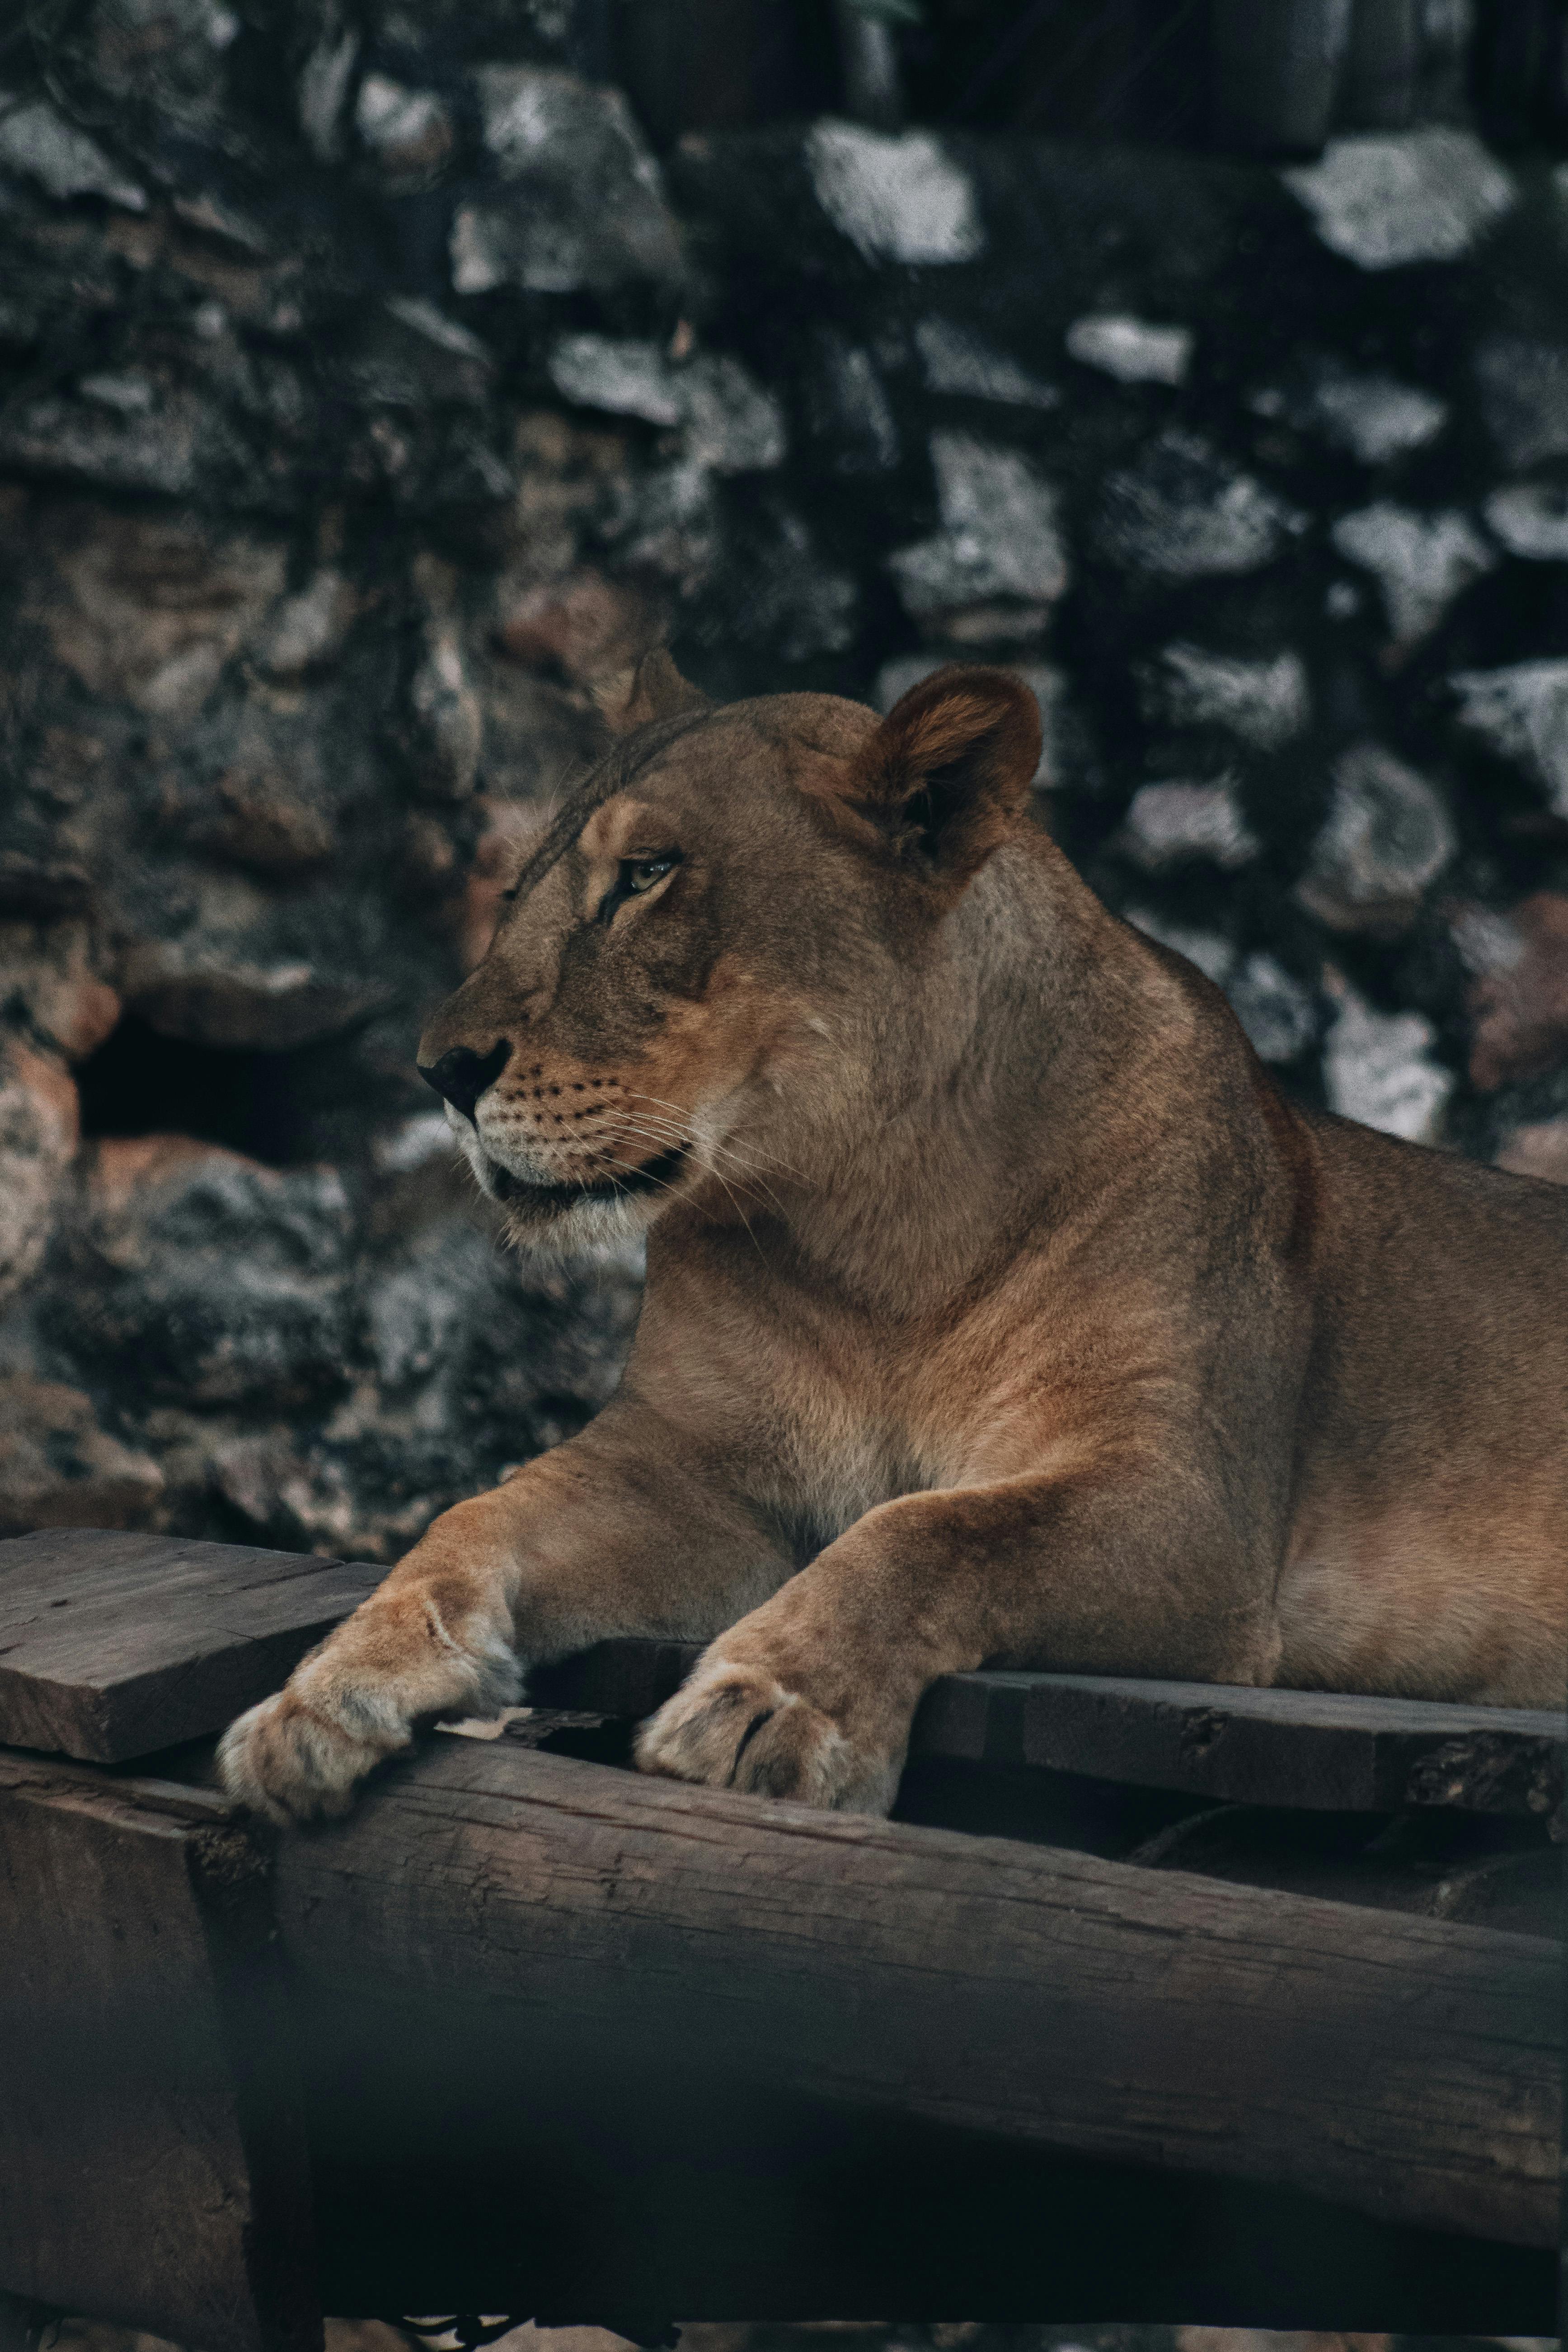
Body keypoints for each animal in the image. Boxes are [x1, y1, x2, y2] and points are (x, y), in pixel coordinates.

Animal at [219, 654, 1568, 1825]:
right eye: (514, 895)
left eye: (646, 873)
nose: (438, 1070)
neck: (871, 1226)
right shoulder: (692, 1467)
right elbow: (475, 1512)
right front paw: (327, 1692)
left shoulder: (1187, 1504)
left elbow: (931, 1528)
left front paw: (768, 1709)